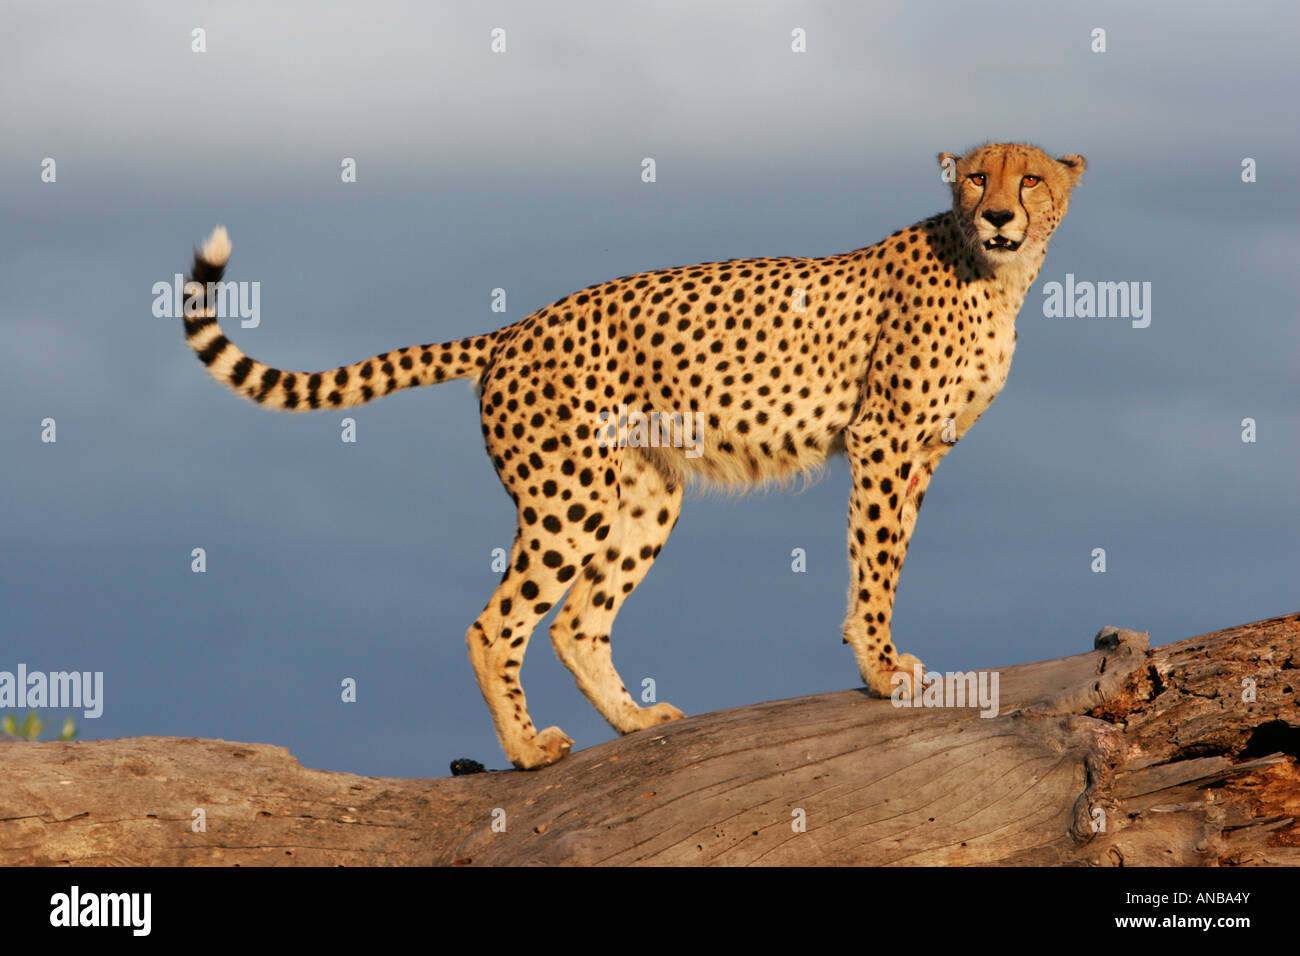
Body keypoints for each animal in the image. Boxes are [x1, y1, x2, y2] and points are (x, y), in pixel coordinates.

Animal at [178, 142, 1085, 769]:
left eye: (1031, 180)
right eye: (978, 178)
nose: (999, 216)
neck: (995, 275)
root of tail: (514, 328)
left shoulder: (924, 451)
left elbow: (890, 553)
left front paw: (884, 658)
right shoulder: (883, 440)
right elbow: (876, 558)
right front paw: (881, 666)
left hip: (643, 495)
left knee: (578, 621)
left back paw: (632, 724)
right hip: (566, 497)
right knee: (496, 624)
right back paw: (527, 750)